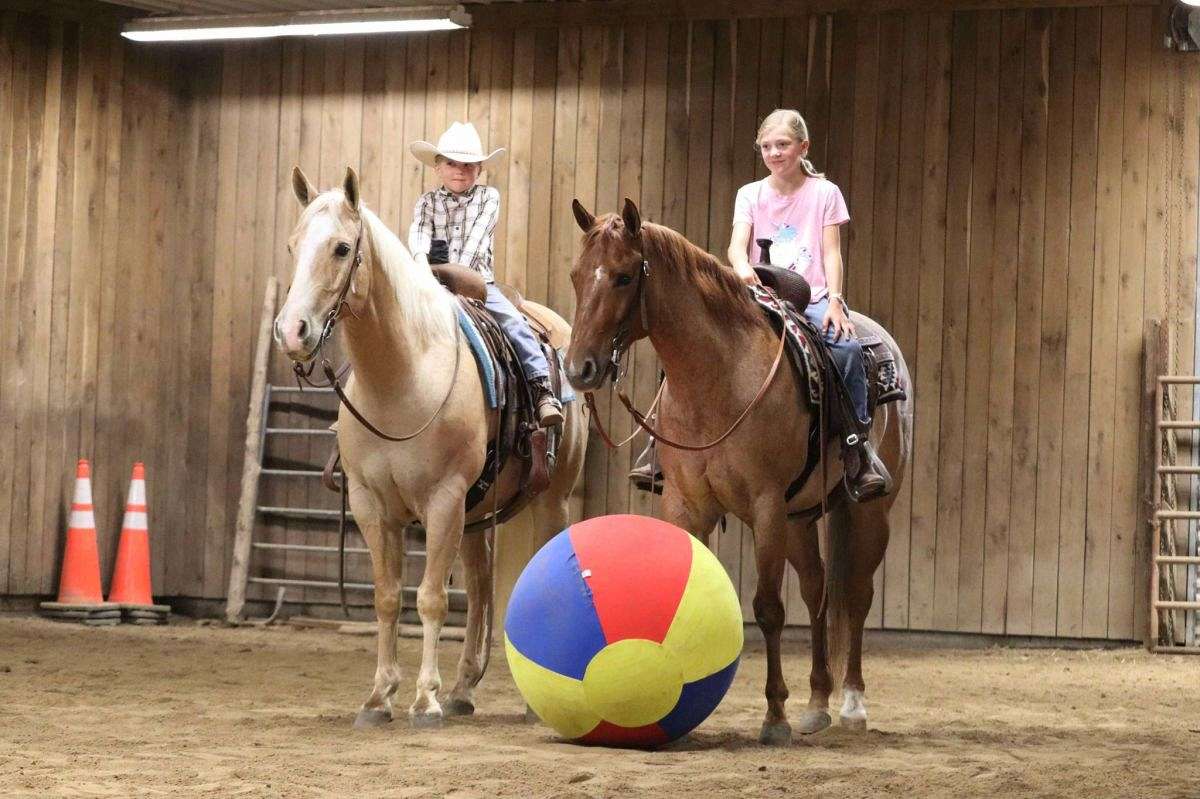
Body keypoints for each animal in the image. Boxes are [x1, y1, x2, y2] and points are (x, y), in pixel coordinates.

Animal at [273, 166, 587, 727]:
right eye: (293, 245)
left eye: (341, 247)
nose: (291, 331)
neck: (402, 378)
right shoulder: (370, 504)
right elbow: (387, 597)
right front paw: (379, 697)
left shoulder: (443, 500)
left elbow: (432, 599)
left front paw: (424, 700)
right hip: (478, 512)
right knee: (481, 585)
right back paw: (464, 688)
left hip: (551, 501)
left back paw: (524, 703)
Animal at [564, 199, 912, 746]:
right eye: (577, 276)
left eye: (623, 276)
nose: (579, 369)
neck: (717, 379)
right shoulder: (687, 506)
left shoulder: (765, 506)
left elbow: (768, 608)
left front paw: (775, 717)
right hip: (799, 519)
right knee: (818, 589)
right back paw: (817, 703)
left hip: (868, 512)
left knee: (855, 593)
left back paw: (852, 702)